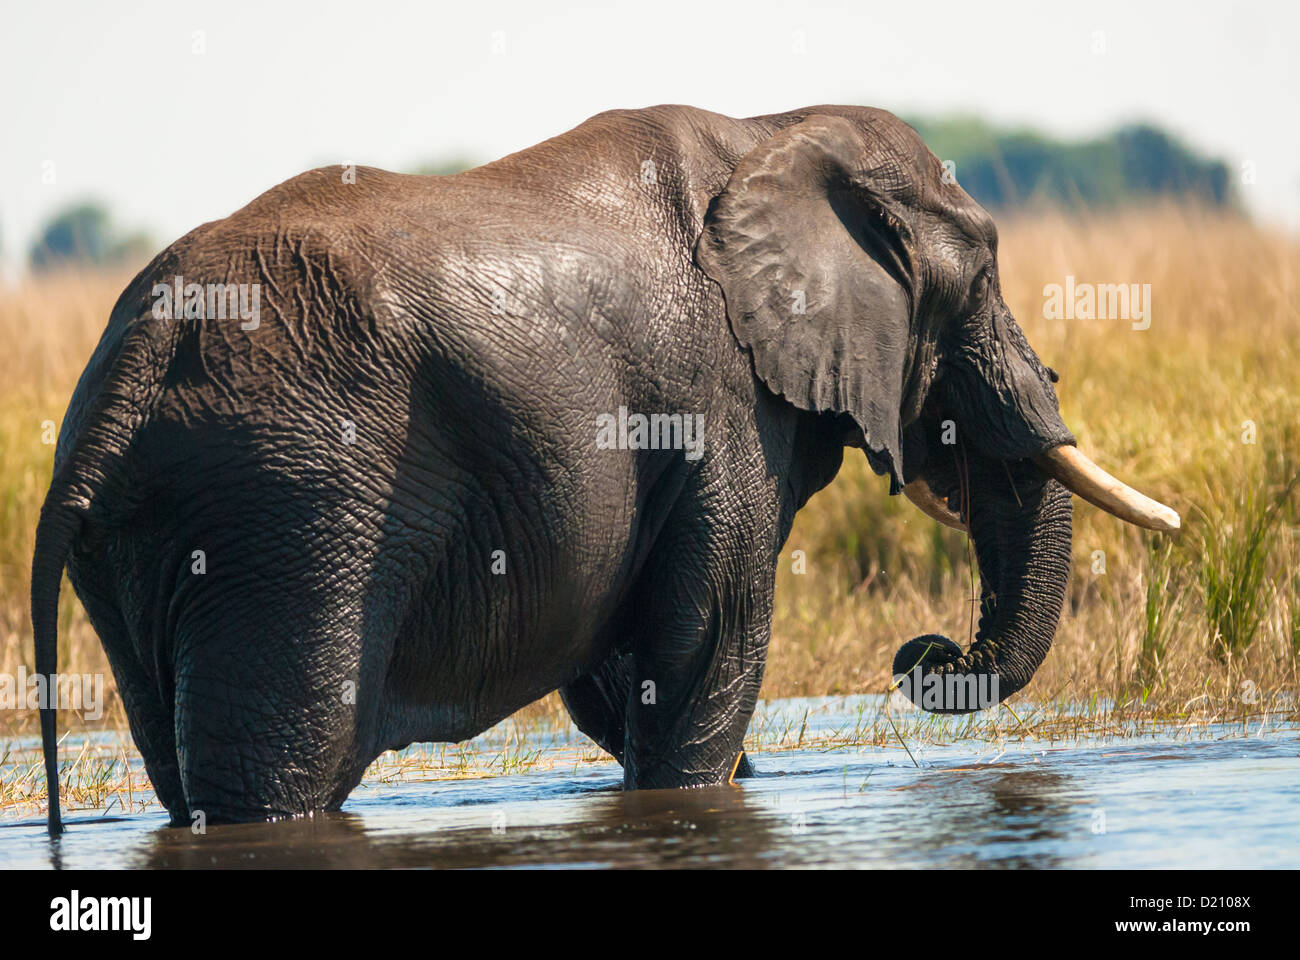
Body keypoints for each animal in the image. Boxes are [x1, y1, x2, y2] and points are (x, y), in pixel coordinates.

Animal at [31, 103, 1179, 835]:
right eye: (981, 275)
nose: (920, 654)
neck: (774, 130)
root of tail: (129, 368)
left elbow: (624, 674)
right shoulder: (719, 402)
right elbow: (705, 650)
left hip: (159, 533)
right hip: (288, 508)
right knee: (276, 766)